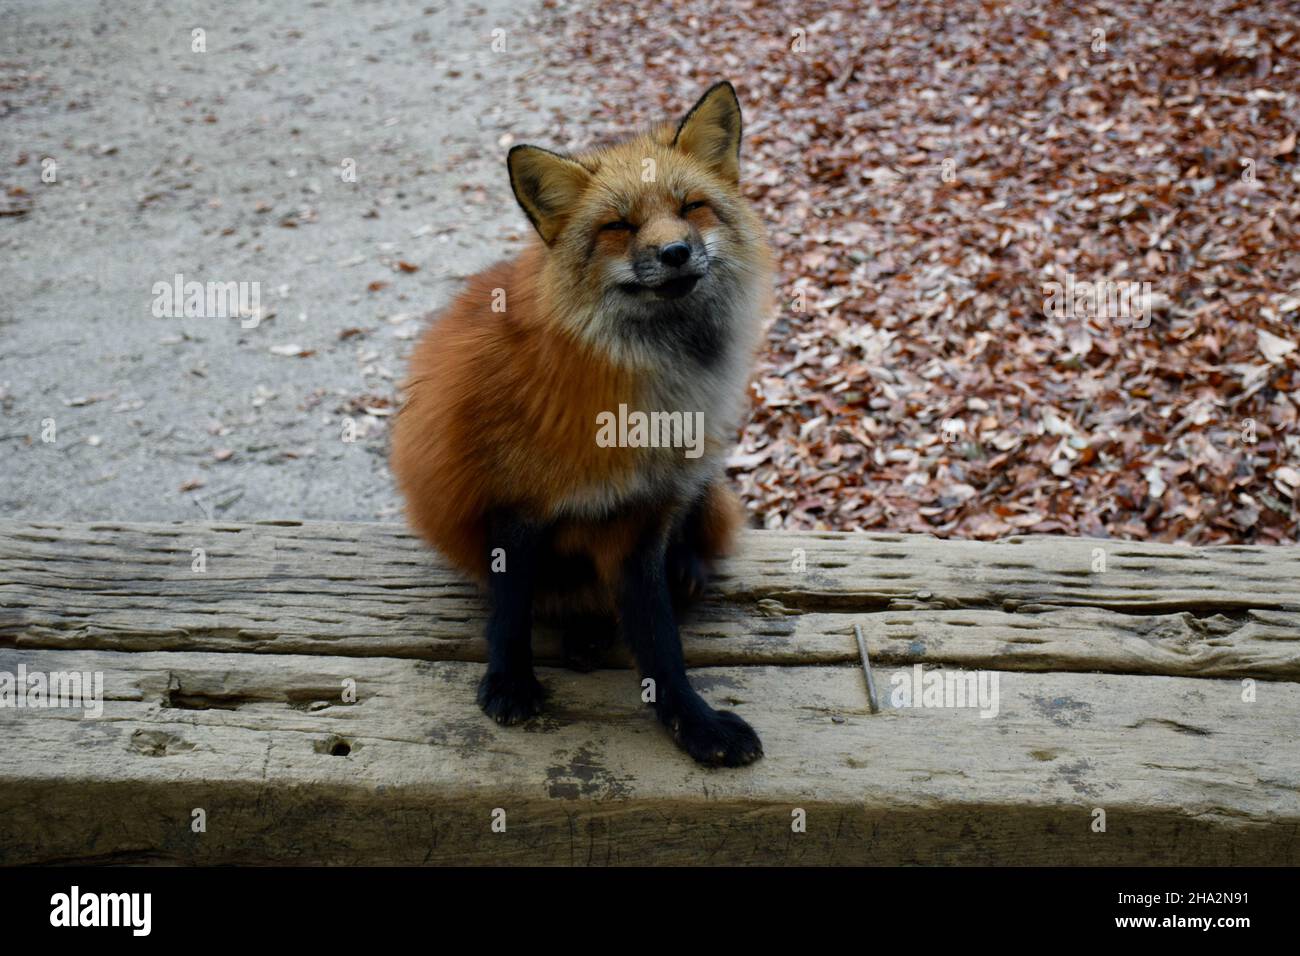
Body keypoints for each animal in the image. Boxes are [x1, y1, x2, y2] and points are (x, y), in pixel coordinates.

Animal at [390, 82, 772, 766]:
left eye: (691, 207)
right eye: (619, 226)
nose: (675, 251)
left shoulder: (645, 519)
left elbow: (661, 644)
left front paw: (692, 724)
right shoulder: (514, 505)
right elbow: (510, 612)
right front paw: (508, 683)